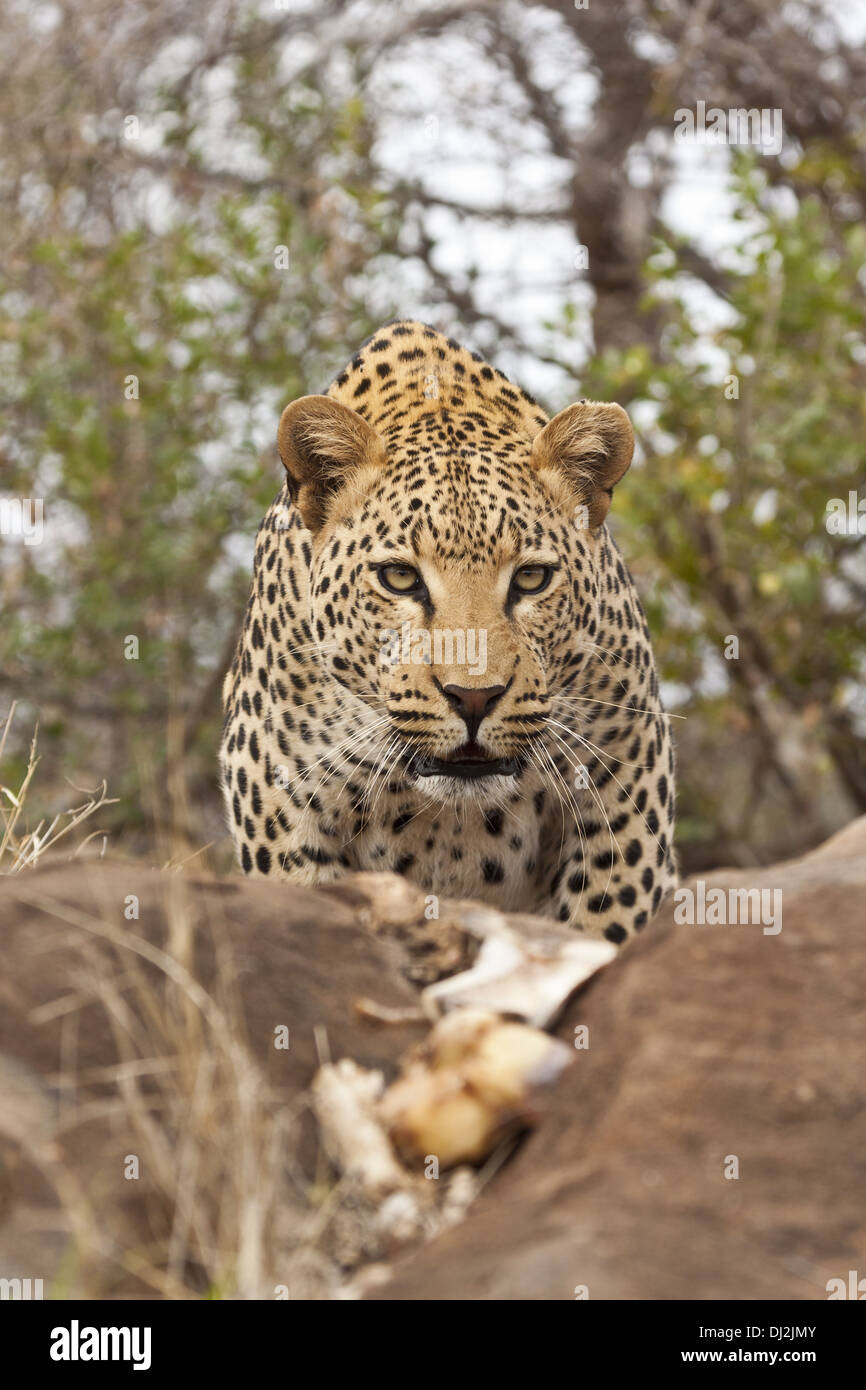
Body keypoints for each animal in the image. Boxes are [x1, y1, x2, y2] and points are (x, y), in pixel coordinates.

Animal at [219, 319, 677, 945]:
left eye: (531, 578)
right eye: (399, 577)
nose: (474, 698)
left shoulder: (626, 780)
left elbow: (607, 929)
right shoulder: (280, 804)